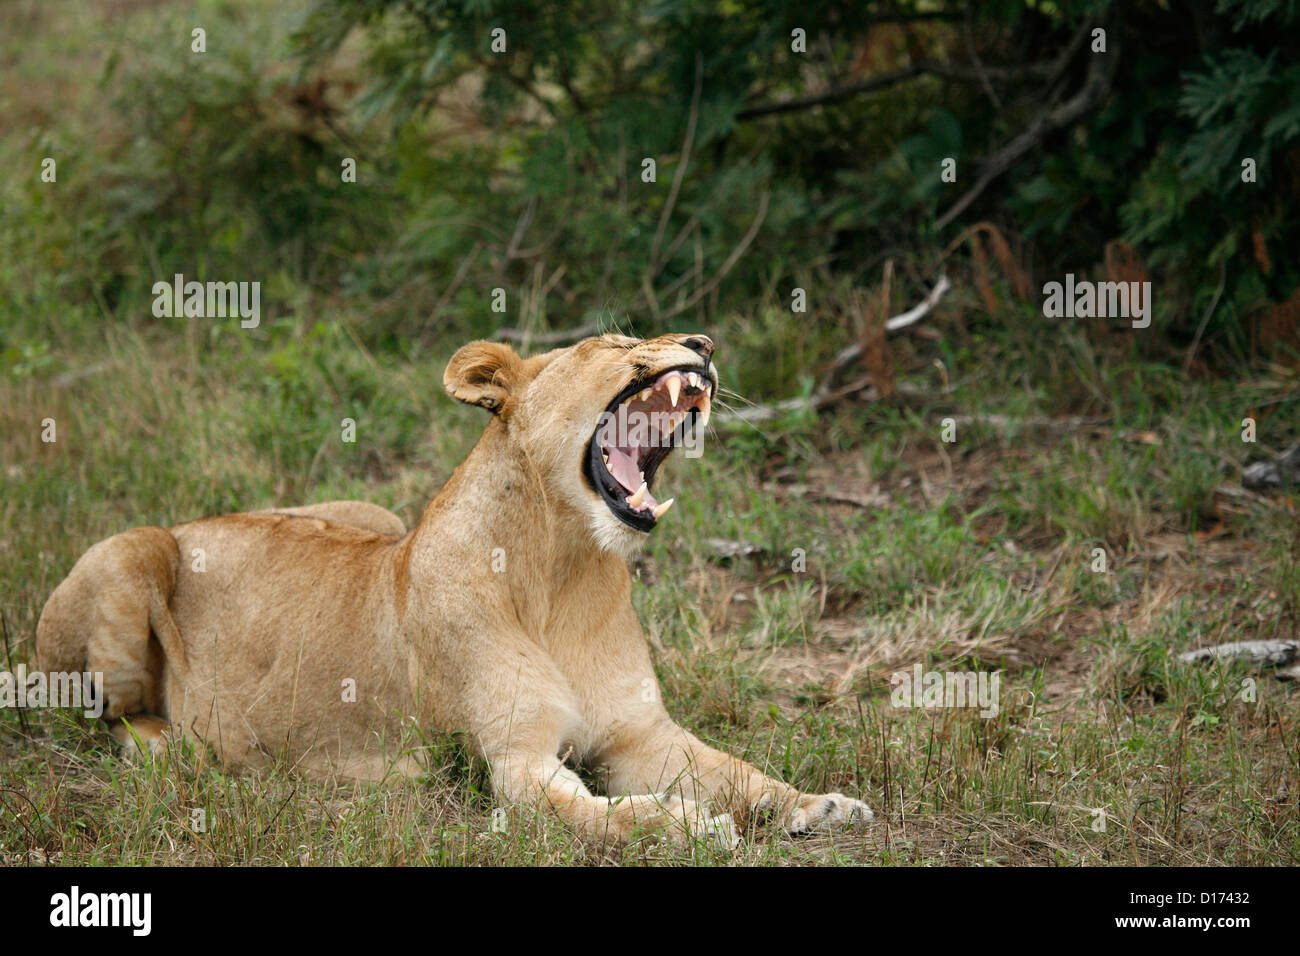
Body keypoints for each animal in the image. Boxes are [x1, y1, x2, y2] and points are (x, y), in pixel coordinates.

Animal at [35, 332, 873, 846]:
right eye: (610, 343)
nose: (703, 344)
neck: (566, 569)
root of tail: (194, 520)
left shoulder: (641, 736)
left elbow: (737, 772)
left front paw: (819, 804)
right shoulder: (518, 766)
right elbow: (608, 818)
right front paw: (689, 826)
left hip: (368, 512)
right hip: (132, 550)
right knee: (108, 717)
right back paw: (180, 748)